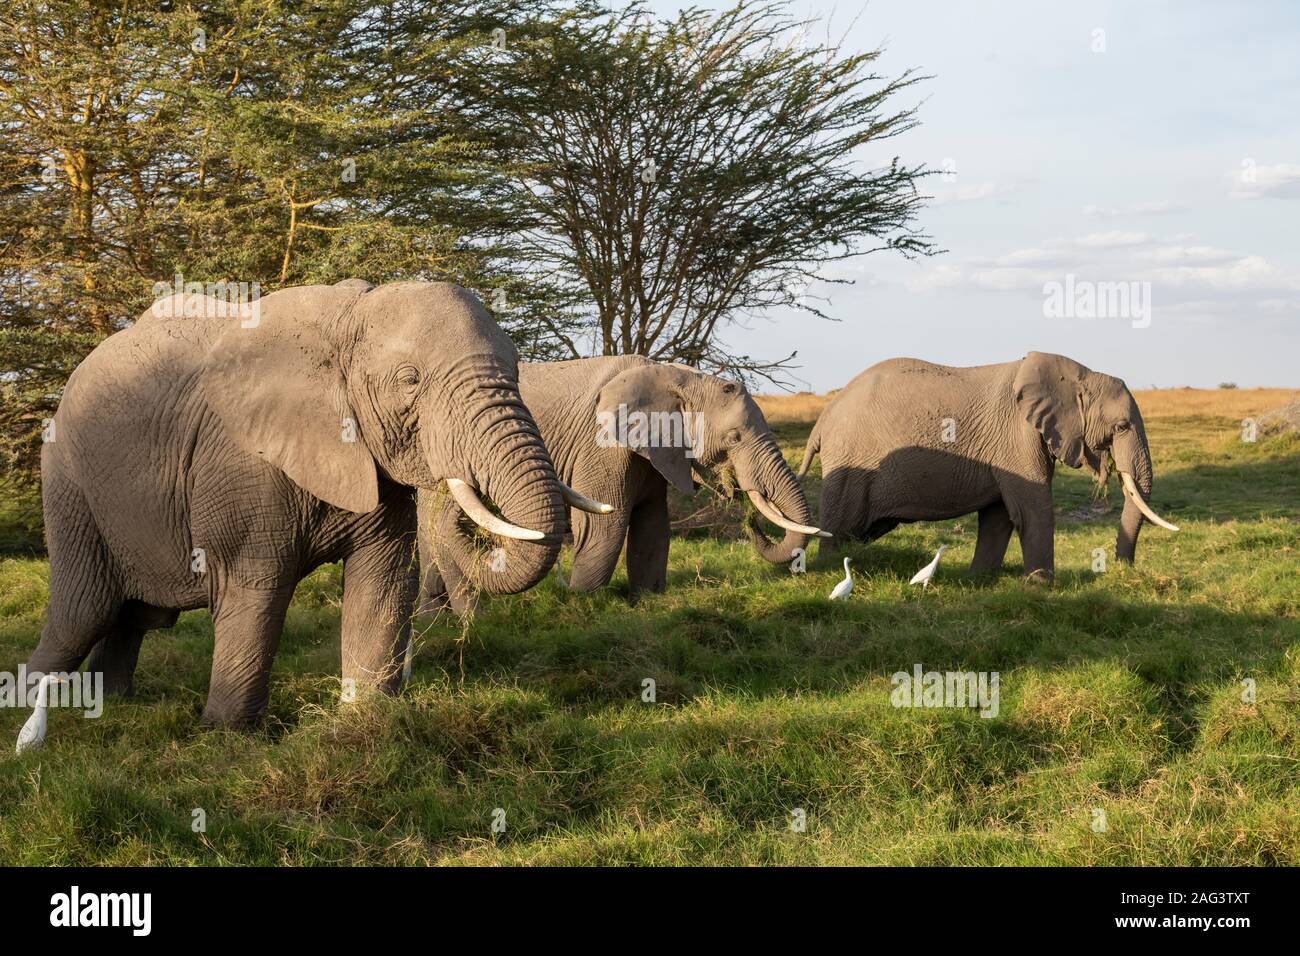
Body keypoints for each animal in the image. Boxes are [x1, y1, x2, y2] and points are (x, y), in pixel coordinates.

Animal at [24, 279, 608, 726]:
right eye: (410, 380)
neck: (349, 316)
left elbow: (383, 582)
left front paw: (367, 718)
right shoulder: (239, 465)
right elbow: (254, 588)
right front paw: (228, 734)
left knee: (126, 619)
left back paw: (115, 704)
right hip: (69, 485)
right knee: (83, 610)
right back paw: (30, 705)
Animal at [418, 355, 825, 611]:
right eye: (736, 437)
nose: (750, 520)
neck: (678, 375)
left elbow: (653, 523)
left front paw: (646, 602)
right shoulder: (601, 446)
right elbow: (604, 526)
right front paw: (582, 605)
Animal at [799, 351, 1179, 580]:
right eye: (1121, 427)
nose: (1121, 569)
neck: (1079, 375)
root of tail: (822, 421)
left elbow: (999, 517)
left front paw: (979, 580)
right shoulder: (1018, 436)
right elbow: (1032, 509)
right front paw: (1040, 585)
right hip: (850, 464)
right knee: (841, 524)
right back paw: (827, 568)